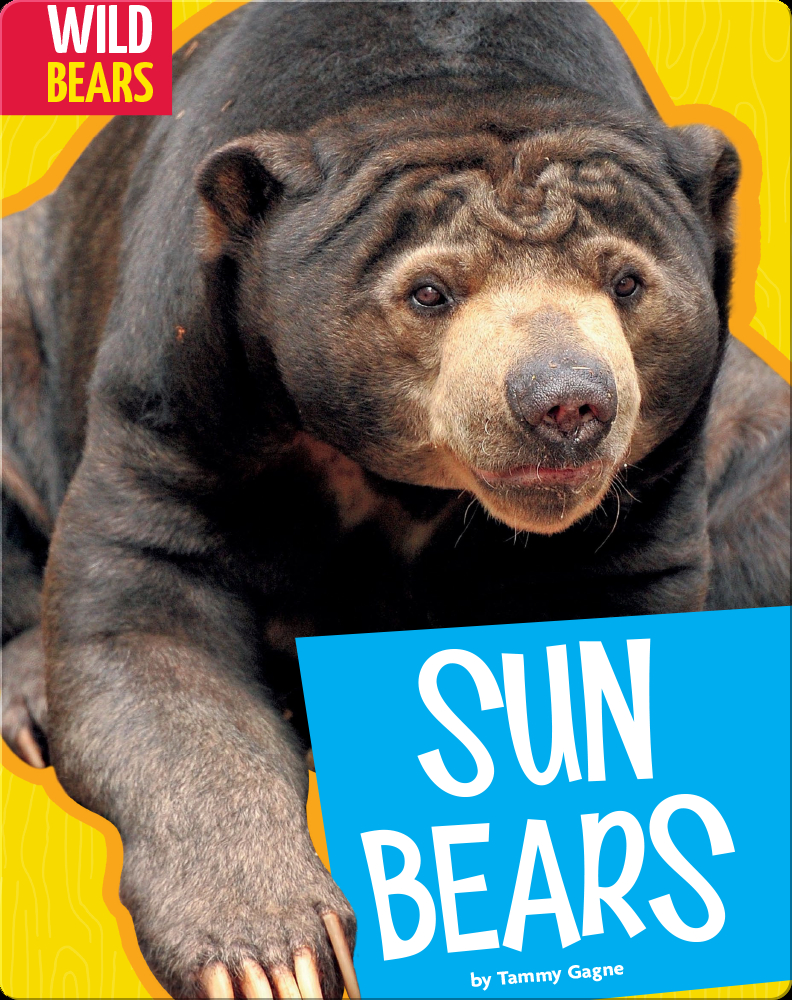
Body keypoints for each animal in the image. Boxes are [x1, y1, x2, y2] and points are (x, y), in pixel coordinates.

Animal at [1, 1, 789, 997]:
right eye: (428, 292)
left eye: (627, 283)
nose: (568, 404)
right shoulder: (180, 387)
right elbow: (151, 627)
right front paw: (272, 959)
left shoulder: (649, 484)